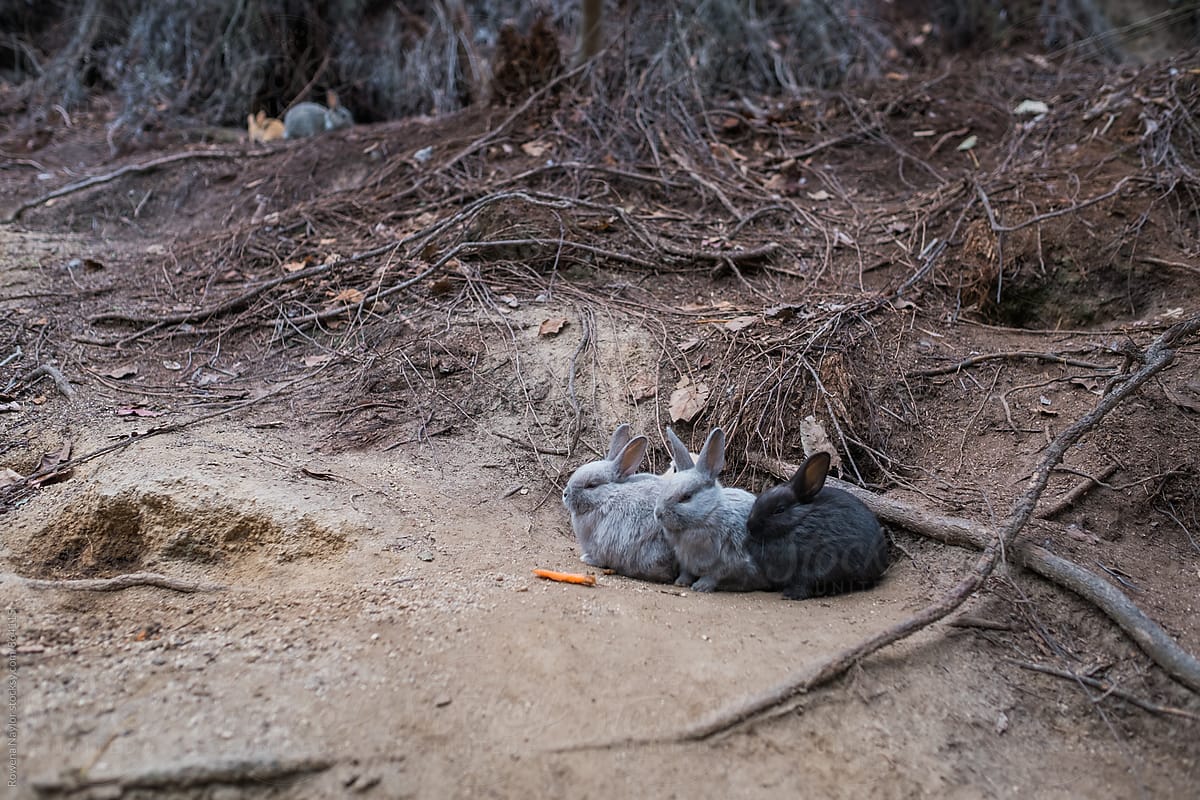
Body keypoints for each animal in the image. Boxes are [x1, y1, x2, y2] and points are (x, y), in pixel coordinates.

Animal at [654, 427, 768, 593]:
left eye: (687, 497)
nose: (658, 513)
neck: (707, 515)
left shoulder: (727, 560)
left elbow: (714, 576)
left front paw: (700, 587)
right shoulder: (685, 559)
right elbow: (686, 572)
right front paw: (681, 582)